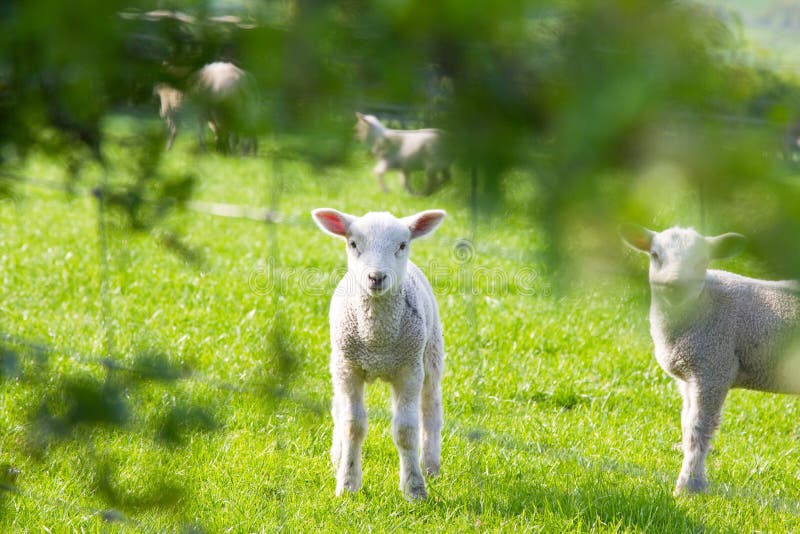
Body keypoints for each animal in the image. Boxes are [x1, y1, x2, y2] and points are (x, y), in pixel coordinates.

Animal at [311, 208, 446, 500]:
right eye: (353, 244)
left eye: (402, 245)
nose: (376, 277)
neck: (377, 341)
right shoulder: (349, 368)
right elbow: (353, 426)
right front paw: (347, 483)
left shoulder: (409, 369)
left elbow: (406, 430)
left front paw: (415, 489)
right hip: (337, 360)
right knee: (338, 406)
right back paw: (337, 455)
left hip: (431, 354)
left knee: (430, 407)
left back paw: (430, 465)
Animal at [621, 224, 800, 495]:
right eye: (655, 254)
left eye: (702, 261)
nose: (675, 283)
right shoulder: (689, 376)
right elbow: (686, 425)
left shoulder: (714, 366)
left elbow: (699, 429)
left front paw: (689, 486)